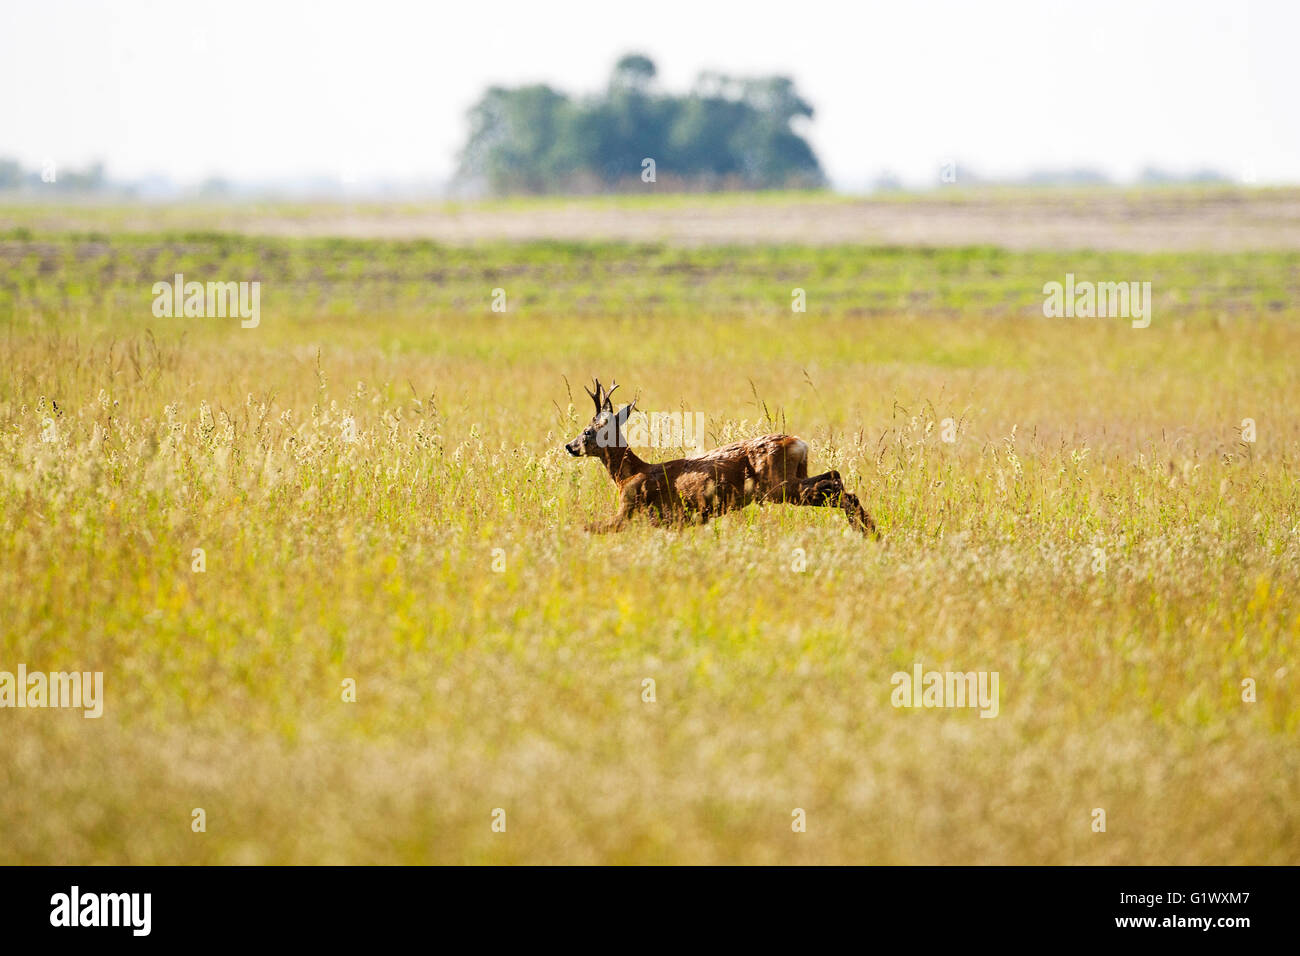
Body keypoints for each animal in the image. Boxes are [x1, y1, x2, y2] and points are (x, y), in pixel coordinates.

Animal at [564, 378, 879, 538]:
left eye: (587, 430)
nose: (569, 446)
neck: (628, 473)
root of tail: (798, 443)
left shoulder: (630, 508)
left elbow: (591, 528)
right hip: (794, 477)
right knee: (835, 479)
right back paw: (871, 532)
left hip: (777, 486)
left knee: (836, 486)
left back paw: (867, 532)